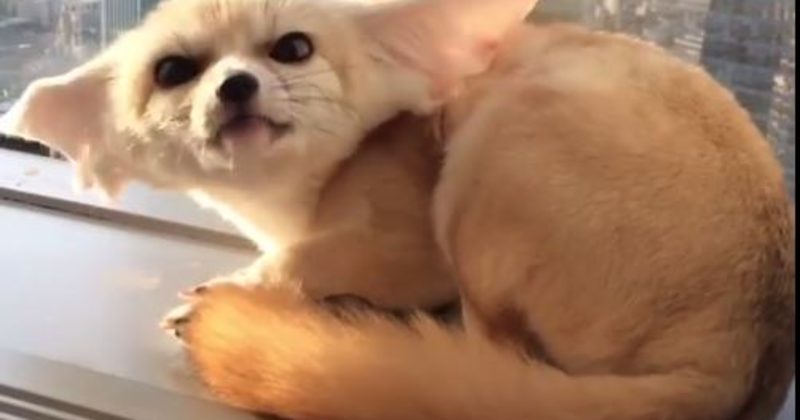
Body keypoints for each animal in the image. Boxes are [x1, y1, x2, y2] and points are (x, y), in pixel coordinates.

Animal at [0, 0, 794, 419]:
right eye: (173, 71)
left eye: (292, 48)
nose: (236, 87)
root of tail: (743, 353)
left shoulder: (411, 242)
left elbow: (306, 256)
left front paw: (241, 291)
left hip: (487, 161)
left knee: (492, 345)